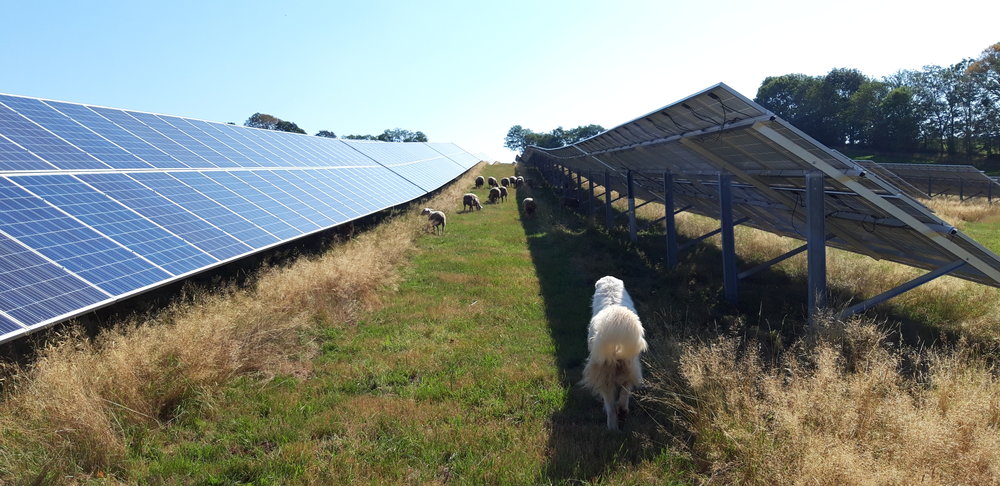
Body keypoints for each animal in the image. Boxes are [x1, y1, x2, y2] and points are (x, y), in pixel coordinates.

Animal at [580, 276, 648, 430]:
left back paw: (612, 427)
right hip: (631, 368)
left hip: (604, 376)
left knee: (610, 406)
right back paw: (622, 411)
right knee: (624, 393)